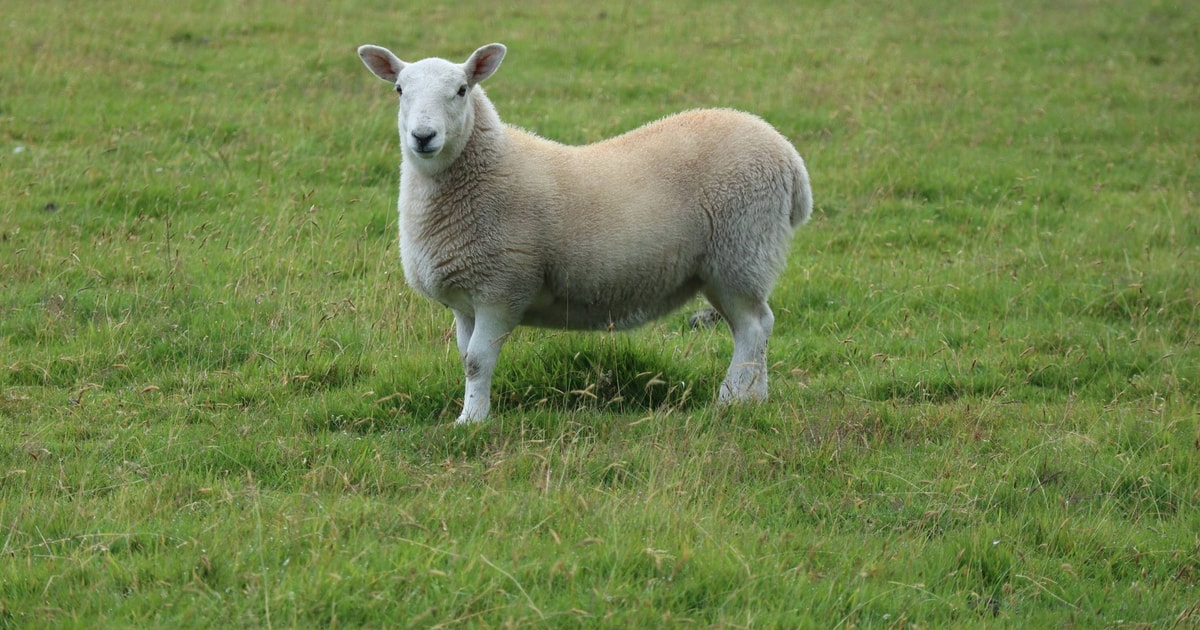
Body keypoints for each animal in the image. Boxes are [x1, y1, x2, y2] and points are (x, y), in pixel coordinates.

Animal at [357, 42, 812, 424]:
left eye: (462, 90)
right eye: (399, 89)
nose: (423, 137)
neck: (487, 169)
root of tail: (789, 157)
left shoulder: (502, 288)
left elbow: (477, 361)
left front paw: (472, 422)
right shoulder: (466, 300)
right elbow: (464, 358)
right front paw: (472, 412)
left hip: (741, 250)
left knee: (753, 328)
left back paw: (730, 400)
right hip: (726, 265)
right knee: (756, 326)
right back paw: (755, 398)